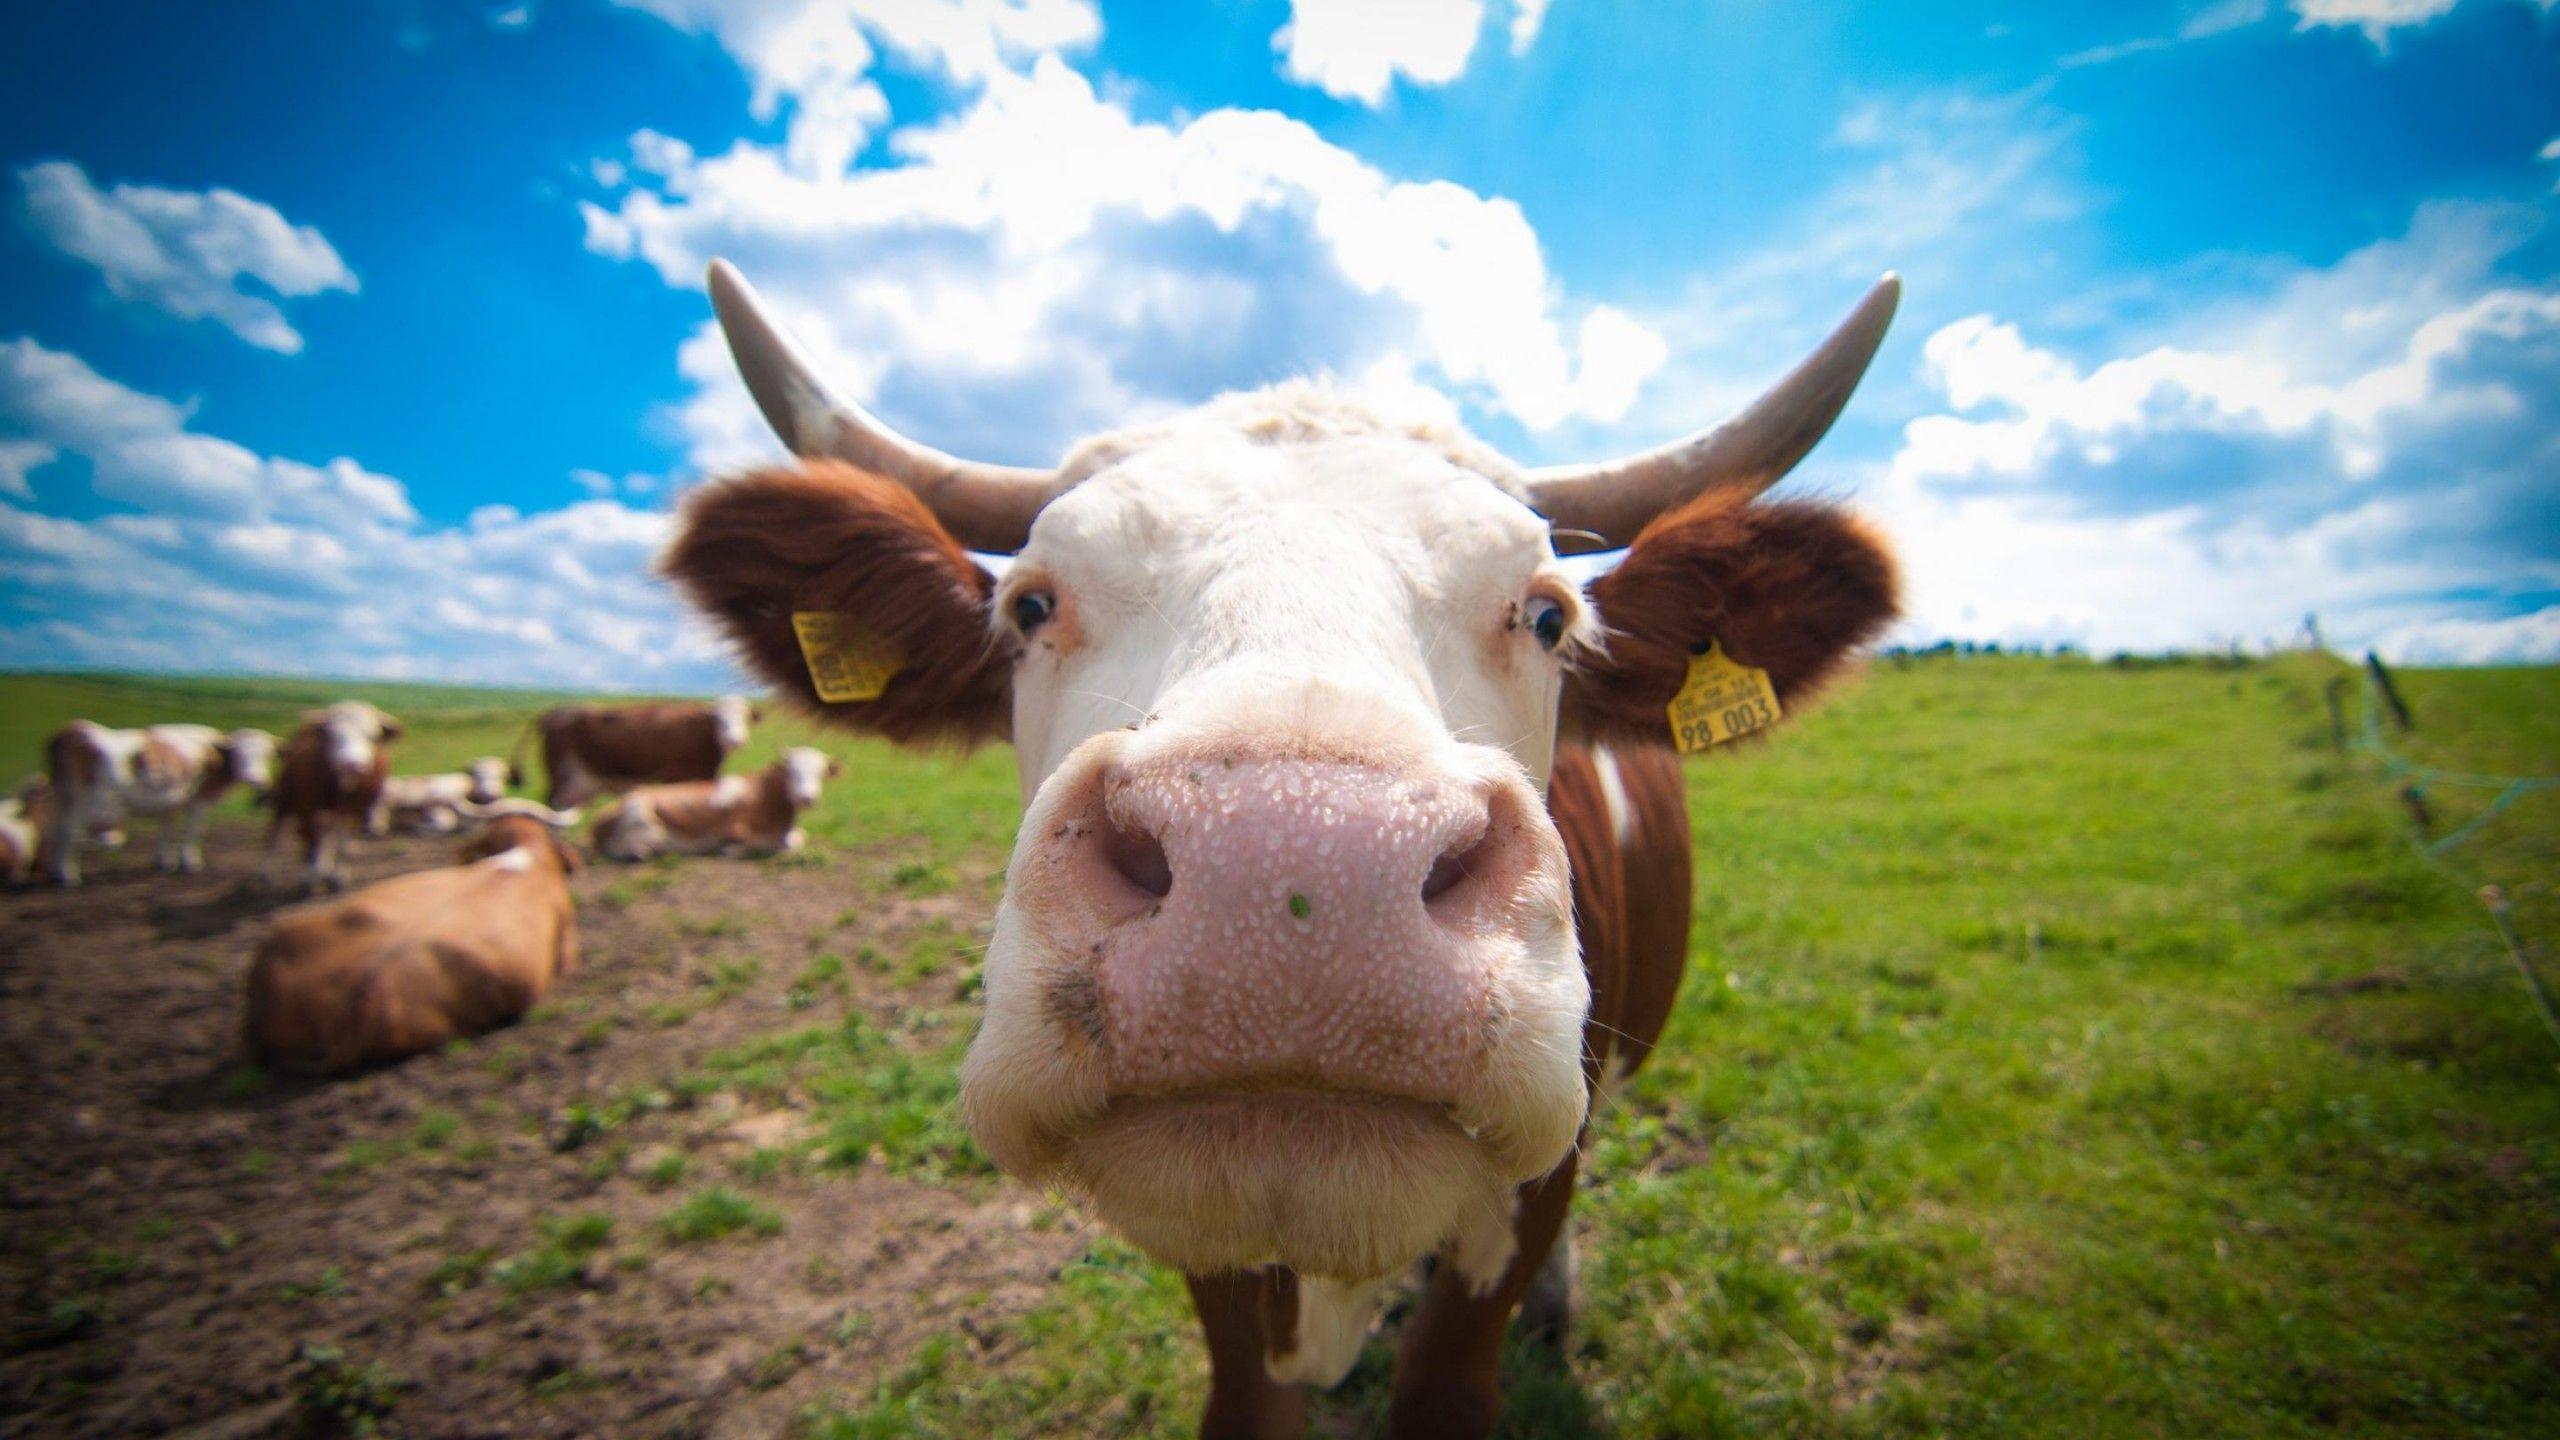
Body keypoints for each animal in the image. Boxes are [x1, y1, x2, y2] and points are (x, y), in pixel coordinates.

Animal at [42, 721, 281, 886]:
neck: (211, 754)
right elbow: (193, 831)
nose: (256, 780)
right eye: (240, 754)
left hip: (63, 797)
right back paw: (69, 877)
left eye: (267, 754)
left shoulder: (170, 802)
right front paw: (190, 862)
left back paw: (56, 871)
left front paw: (164, 862)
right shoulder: (197, 801)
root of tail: (74, 729)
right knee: (71, 833)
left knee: (58, 831)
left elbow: (166, 830)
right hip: (80, 800)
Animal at [267, 702, 402, 891]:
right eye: (333, 734)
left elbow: (342, 844)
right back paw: (268, 873)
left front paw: (338, 877)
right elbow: (311, 843)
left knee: (328, 835)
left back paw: (325, 867)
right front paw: (310, 879)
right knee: (276, 833)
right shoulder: (307, 809)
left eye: (371, 735)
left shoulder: (354, 811)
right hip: (285, 799)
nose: (352, 765)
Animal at [367, 756, 509, 836]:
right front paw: (420, 827)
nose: (493, 794)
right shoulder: (436, 800)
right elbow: (447, 822)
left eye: (499, 776)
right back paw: (378, 827)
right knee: (376, 811)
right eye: (478, 774)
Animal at [508, 696, 758, 808]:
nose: (736, 739)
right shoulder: (672, 776)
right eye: (719, 719)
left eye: (745, 717)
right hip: (562, 774)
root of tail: (558, 710)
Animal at [588, 746, 841, 861]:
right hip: (645, 821)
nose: (807, 798)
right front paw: (732, 850)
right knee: (627, 849)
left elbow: (799, 837)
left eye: (820, 773)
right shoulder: (735, 830)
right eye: (792, 772)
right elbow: (772, 845)